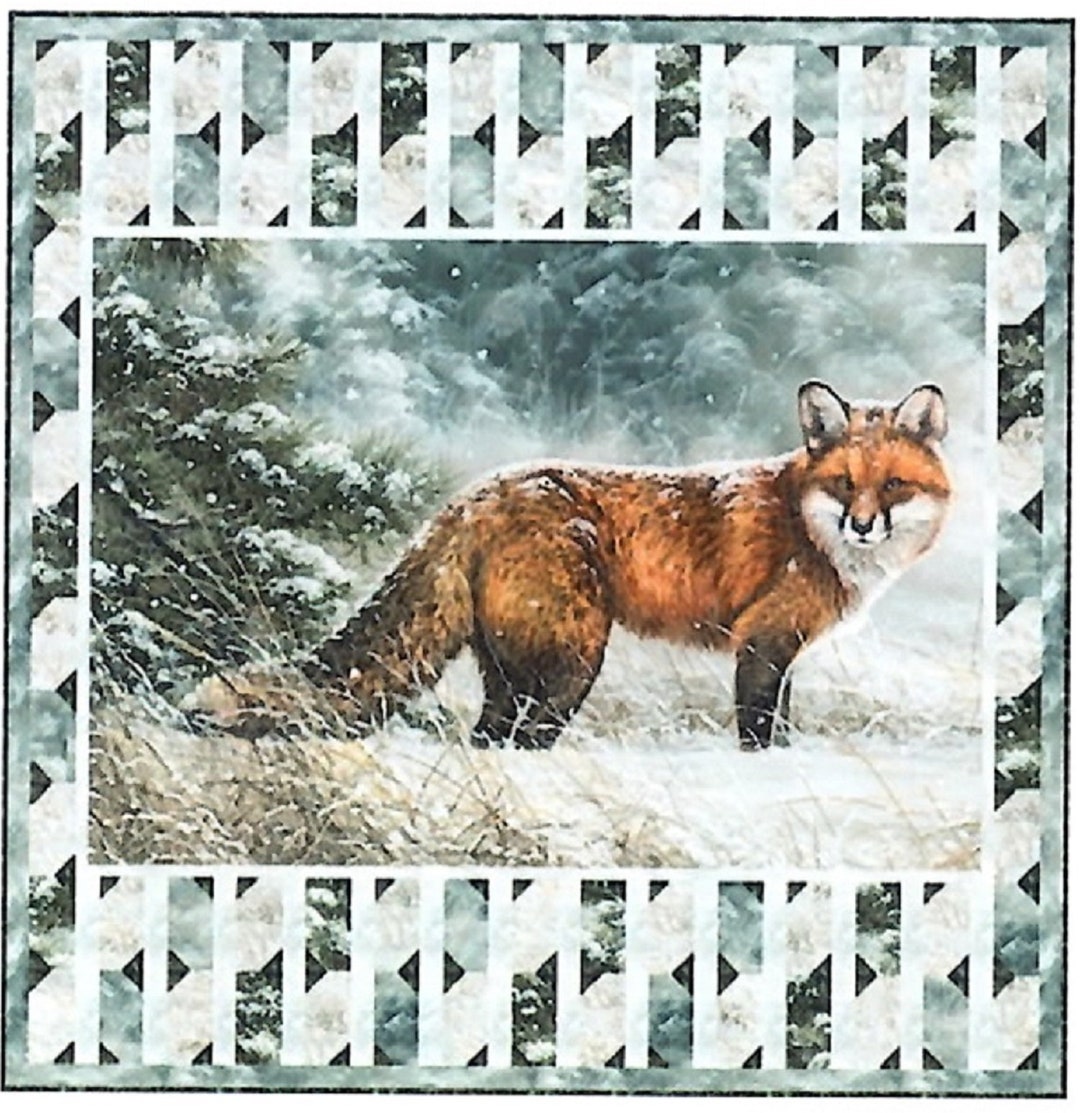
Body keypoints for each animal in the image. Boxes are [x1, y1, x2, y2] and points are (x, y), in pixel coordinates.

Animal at [206, 380, 951, 751]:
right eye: (845, 484)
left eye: (891, 486)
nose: (862, 525)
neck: (807, 526)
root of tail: (474, 495)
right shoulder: (762, 645)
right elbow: (760, 734)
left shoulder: (783, 650)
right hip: (573, 662)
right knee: (521, 739)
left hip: (511, 669)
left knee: (487, 736)